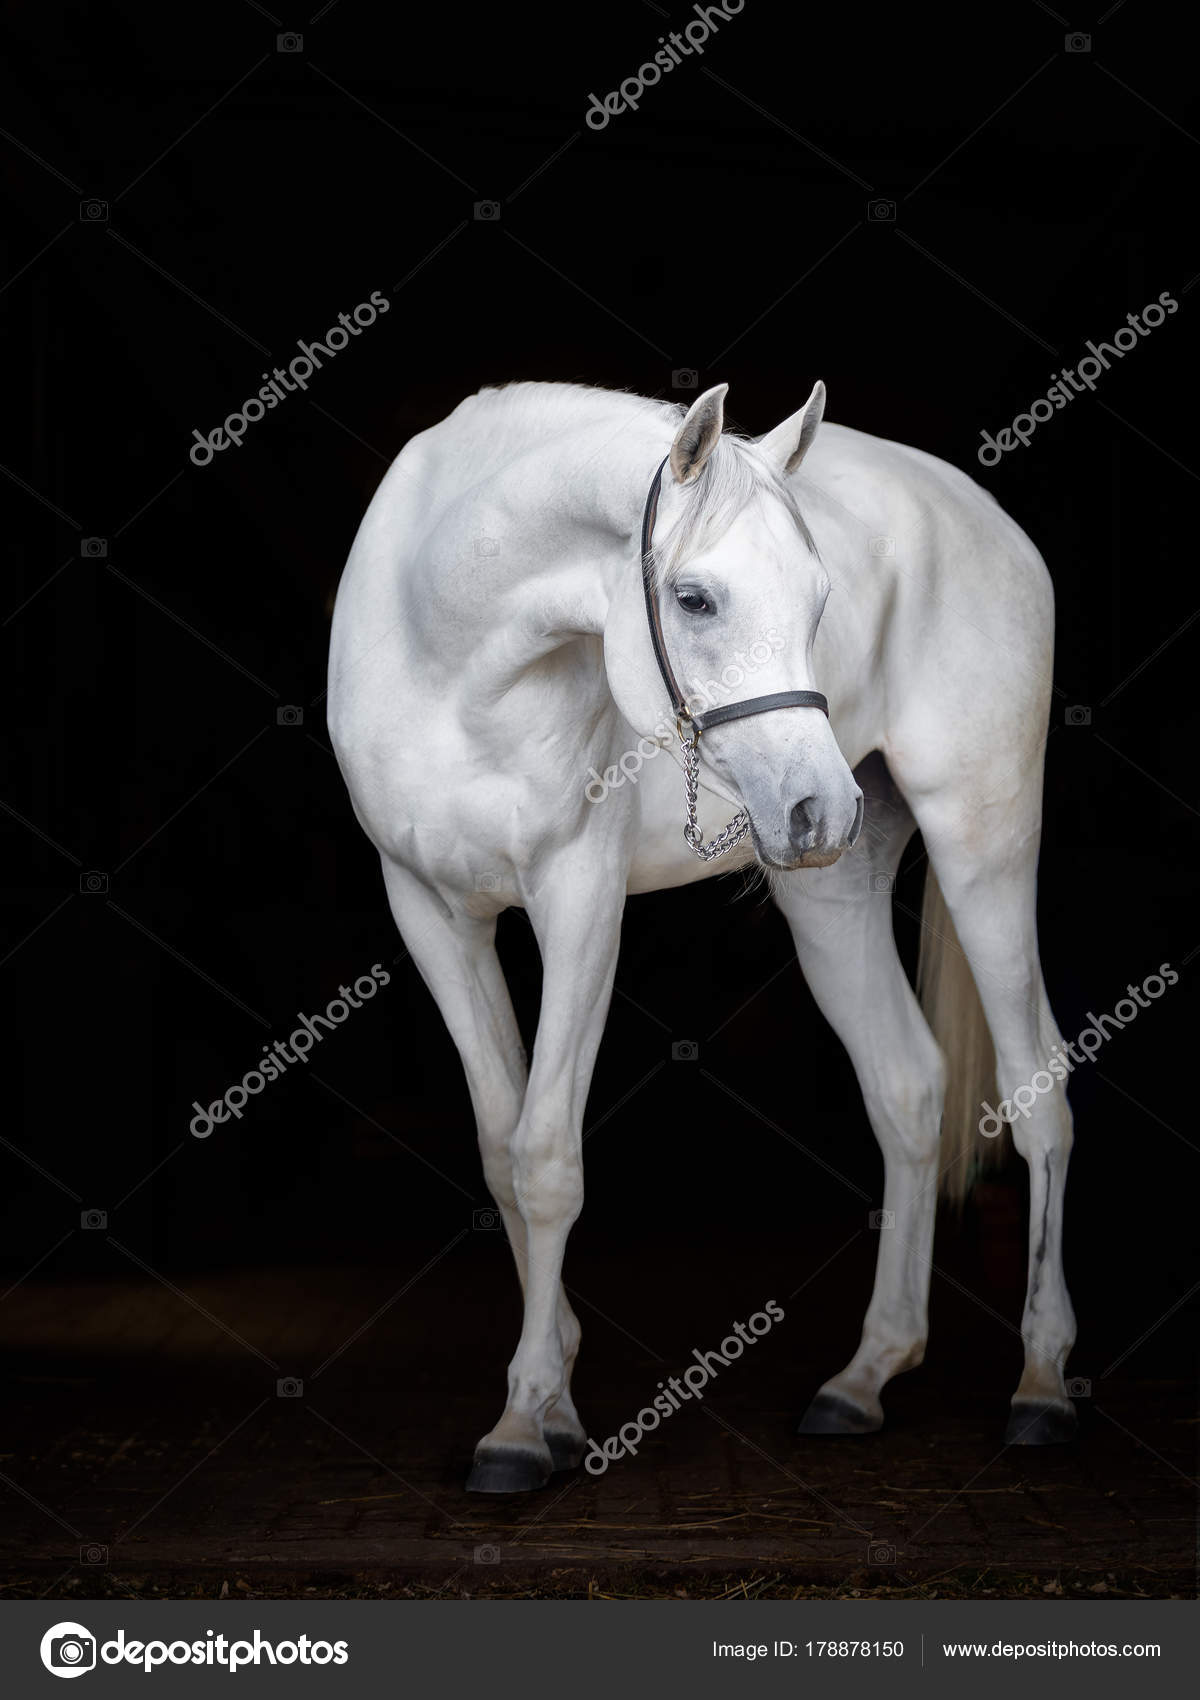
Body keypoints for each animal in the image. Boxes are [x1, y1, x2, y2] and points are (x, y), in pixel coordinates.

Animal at [327, 378, 1075, 1493]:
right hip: (832, 891)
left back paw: (1040, 1384)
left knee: (1039, 1092)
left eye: (819, 597)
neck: (449, 658)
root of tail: (988, 519)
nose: (818, 805)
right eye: (694, 600)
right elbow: (503, 1152)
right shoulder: (429, 911)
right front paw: (554, 1395)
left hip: (983, 840)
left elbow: (547, 1157)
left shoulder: (579, 900)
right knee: (907, 1087)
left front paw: (522, 1426)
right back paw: (864, 1376)